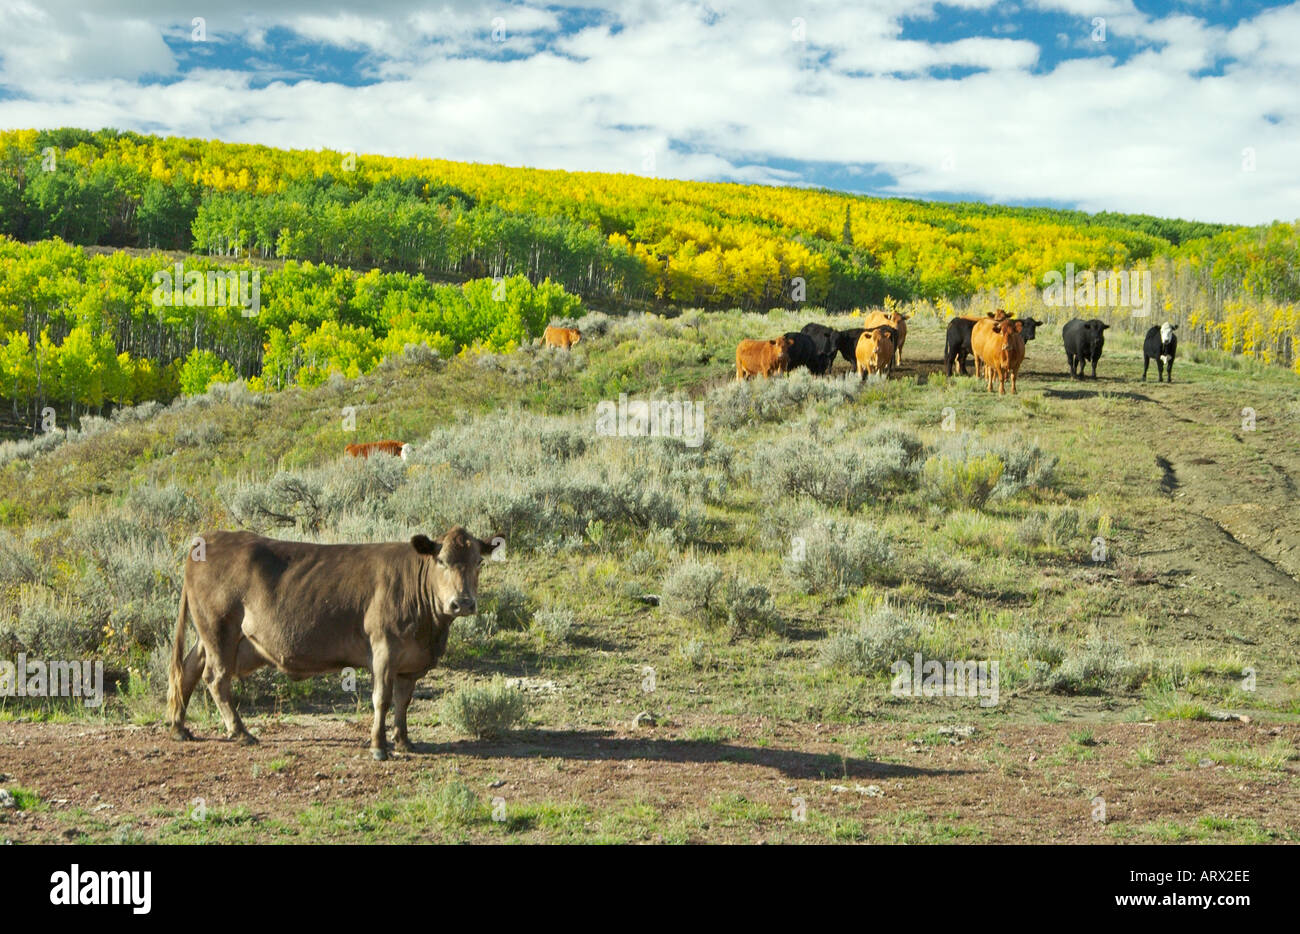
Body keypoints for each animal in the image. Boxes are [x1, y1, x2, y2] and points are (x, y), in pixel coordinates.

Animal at [166, 527, 503, 760]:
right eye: (442, 561)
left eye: (478, 562)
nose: (463, 602)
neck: (429, 629)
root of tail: (211, 537)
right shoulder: (384, 650)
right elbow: (382, 699)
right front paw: (379, 747)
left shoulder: (410, 662)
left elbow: (403, 702)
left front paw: (404, 741)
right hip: (218, 629)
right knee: (215, 678)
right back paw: (240, 731)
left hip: (213, 636)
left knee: (189, 669)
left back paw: (180, 727)